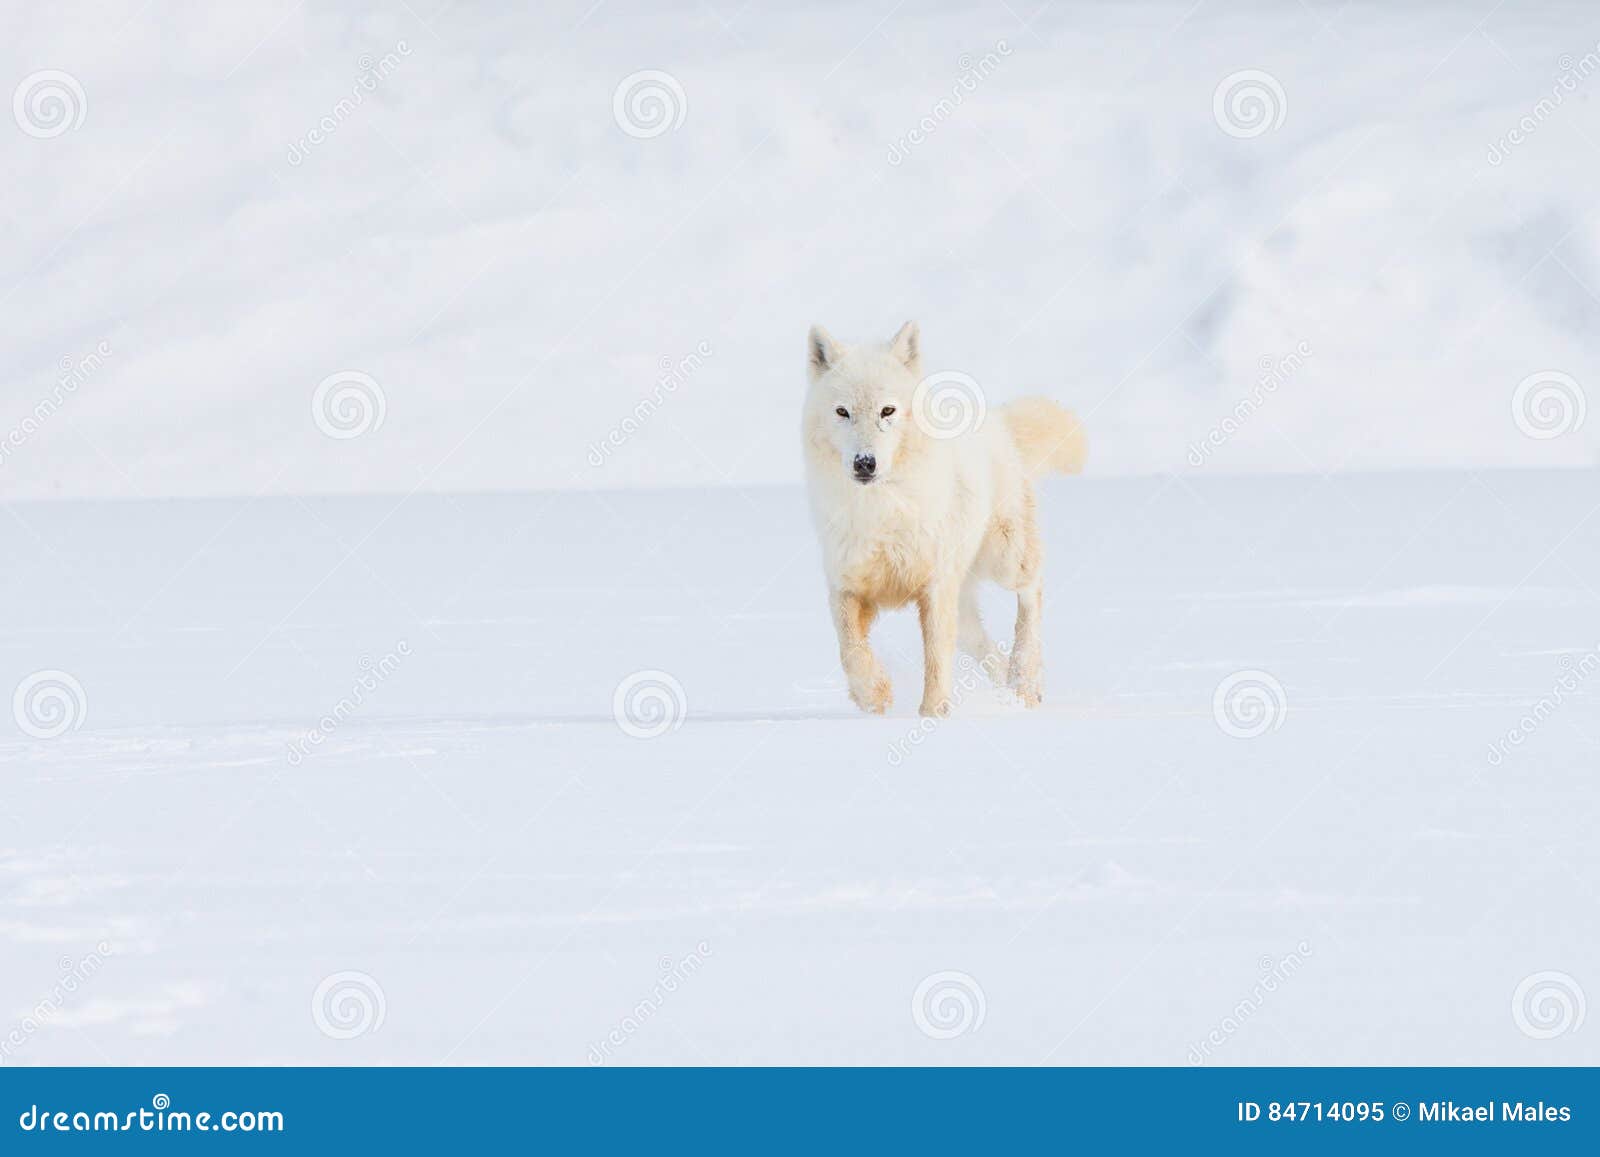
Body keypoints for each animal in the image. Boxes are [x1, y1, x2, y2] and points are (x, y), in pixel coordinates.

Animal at [802, 321, 1086, 717]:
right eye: (842, 412)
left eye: (887, 411)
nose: (864, 463)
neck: (882, 510)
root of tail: (997, 419)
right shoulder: (844, 587)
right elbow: (850, 651)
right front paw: (873, 696)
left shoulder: (935, 589)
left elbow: (936, 661)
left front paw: (933, 715)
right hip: (965, 605)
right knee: (986, 647)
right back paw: (1009, 688)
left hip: (1005, 560)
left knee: (1034, 590)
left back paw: (1026, 680)